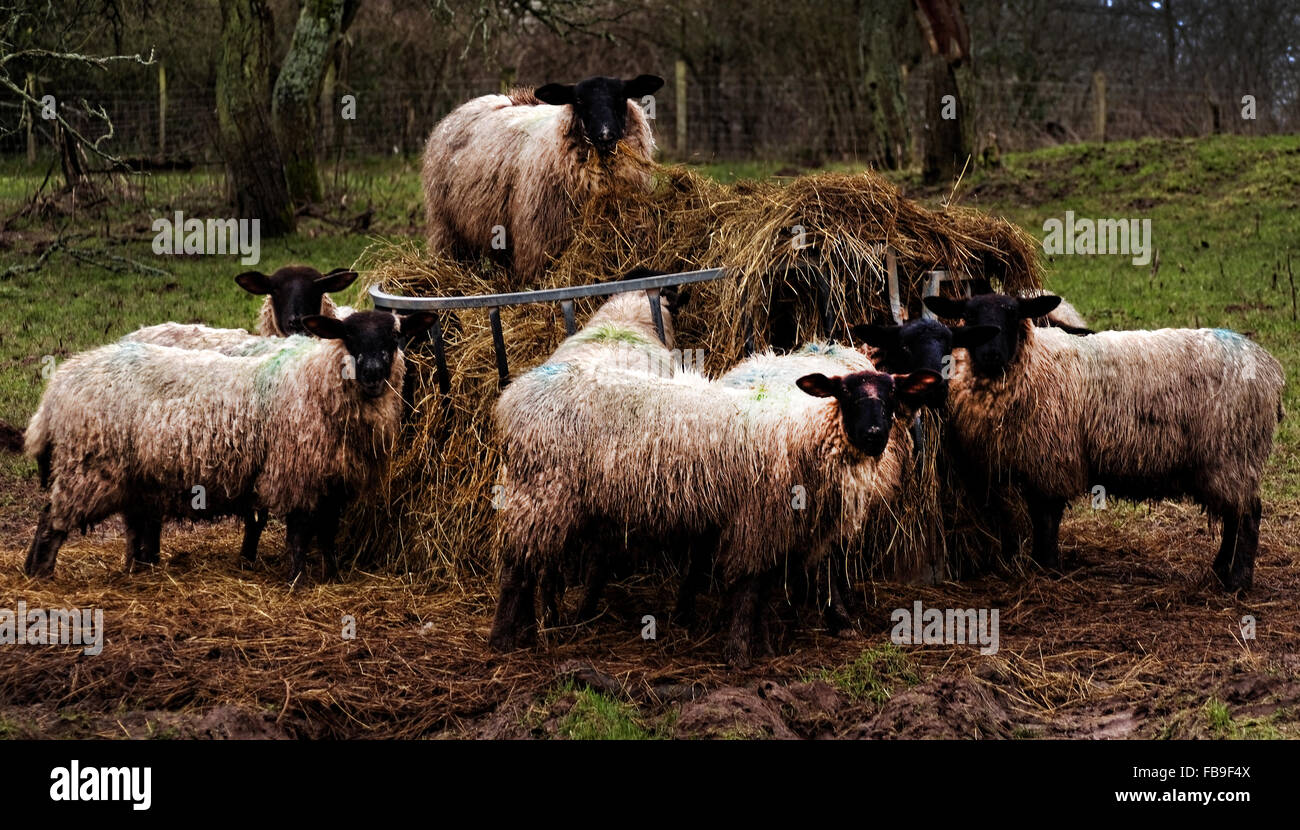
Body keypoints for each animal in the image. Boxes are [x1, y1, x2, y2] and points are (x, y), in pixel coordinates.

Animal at [24, 310, 435, 581]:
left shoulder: (335, 481)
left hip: (135, 478)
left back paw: (136, 568)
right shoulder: (295, 473)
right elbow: (300, 533)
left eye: (394, 338)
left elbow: (329, 532)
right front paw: (298, 579)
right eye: (348, 337)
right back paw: (40, 572)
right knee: (51, 518)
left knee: (136, 523)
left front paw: (333, 576)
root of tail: (56, 389)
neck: (313, 382)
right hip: (89, 467)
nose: (373, 374)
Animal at [488, 328, 939, 664]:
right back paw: (502, 640)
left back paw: (536, 628)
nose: (874, 436)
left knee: (534, 565)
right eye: (844, 396)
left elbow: (764, 588)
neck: (800, 431)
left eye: (891, 398)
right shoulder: (757, 521)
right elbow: (750, 588)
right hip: (539, 493)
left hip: (558, 501)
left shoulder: (776, 525)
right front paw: (740, 653)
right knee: (515, 568)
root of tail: (515, 396)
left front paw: (764, 643)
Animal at [923, 292, 1285, 591]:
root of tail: (1269, 368)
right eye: (969, 316)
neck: (1034, 364)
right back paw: (1219, 570)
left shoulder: (1054, 457)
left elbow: (1047, 517)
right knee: (1233, 515)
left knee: (1248, 515)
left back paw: (1237, 582)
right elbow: (1040, 515)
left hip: (1232, 452)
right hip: (1225, 460)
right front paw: (1040, 563)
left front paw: (1046, 567)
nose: (991, 354)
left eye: (1013, 315)